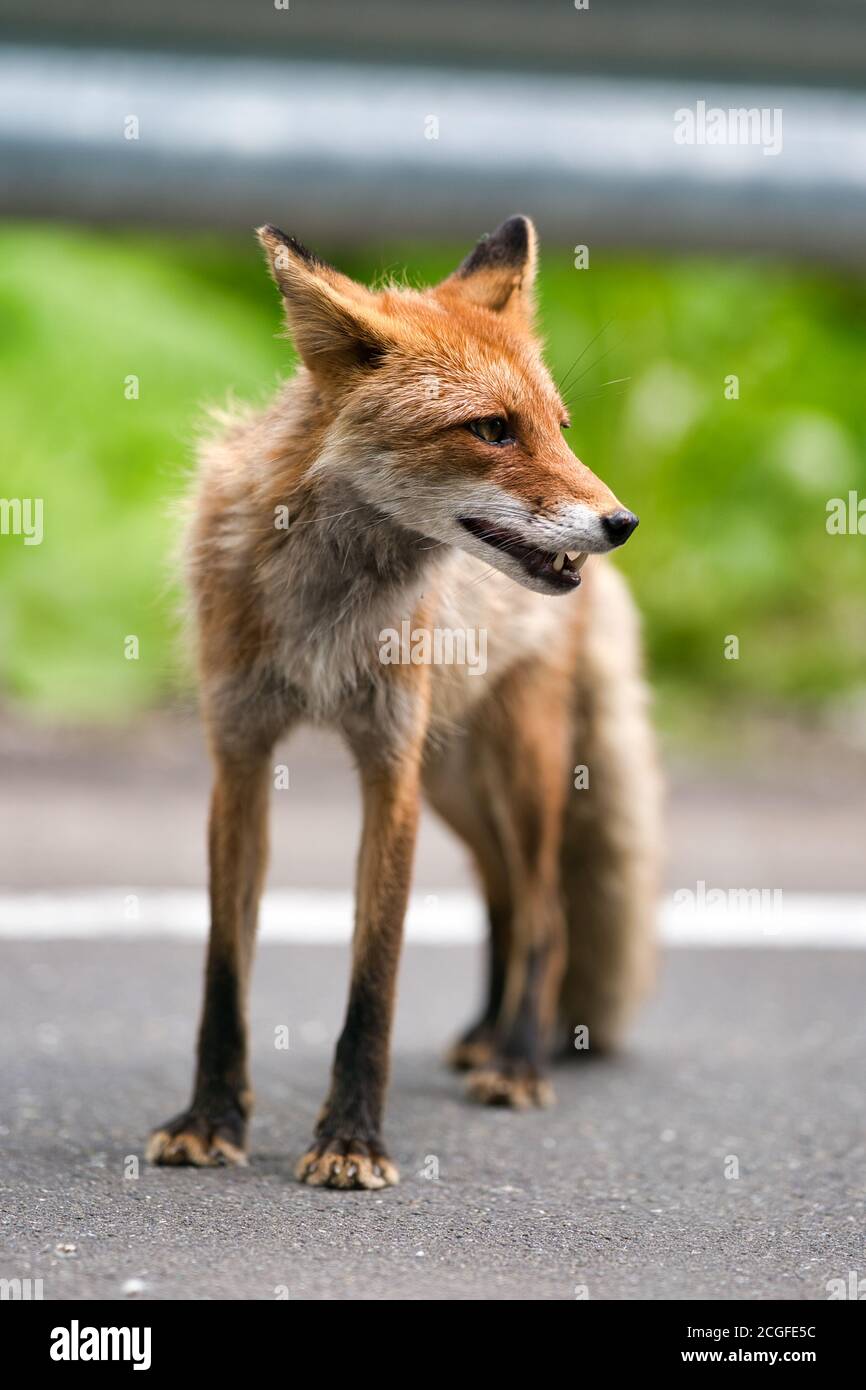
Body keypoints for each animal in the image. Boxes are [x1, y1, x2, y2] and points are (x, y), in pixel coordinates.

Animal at [146, 215, 660, 1190]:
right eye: (491, 429)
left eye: (560, 429)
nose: (620, 524)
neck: (326, 610)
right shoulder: (240, 756)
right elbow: (224, 970)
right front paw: (210, 1120)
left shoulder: (390, 769)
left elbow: (373, 978)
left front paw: (351, 1139)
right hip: (456, 776)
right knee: (504, 897)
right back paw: (488, 1034)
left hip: (516, 763)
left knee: (546, 912)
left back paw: (517, 1061)